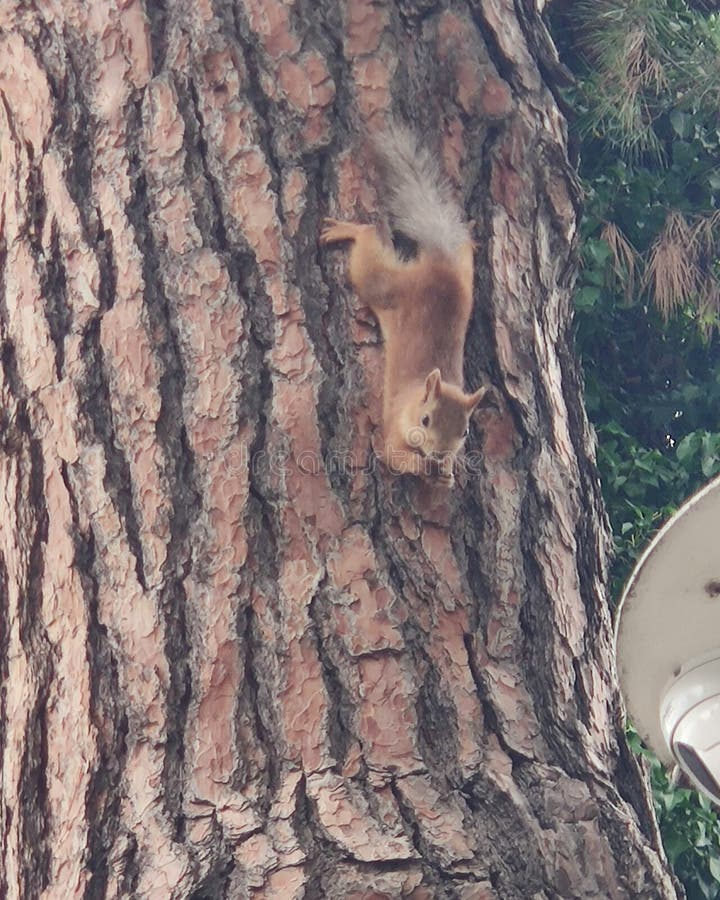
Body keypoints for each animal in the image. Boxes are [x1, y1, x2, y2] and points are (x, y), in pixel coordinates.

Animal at [320, 125, 487, 487]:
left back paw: (468, 237)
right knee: (368, 242)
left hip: (465, 282)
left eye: (465, 431)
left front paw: (446, 474)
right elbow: (395, 457)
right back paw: (349, 229)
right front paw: (426, 469)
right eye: (425, 420)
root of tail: (438, 267)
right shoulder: (394, 430)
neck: (413, 401)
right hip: (383, 285)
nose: (439, 454)